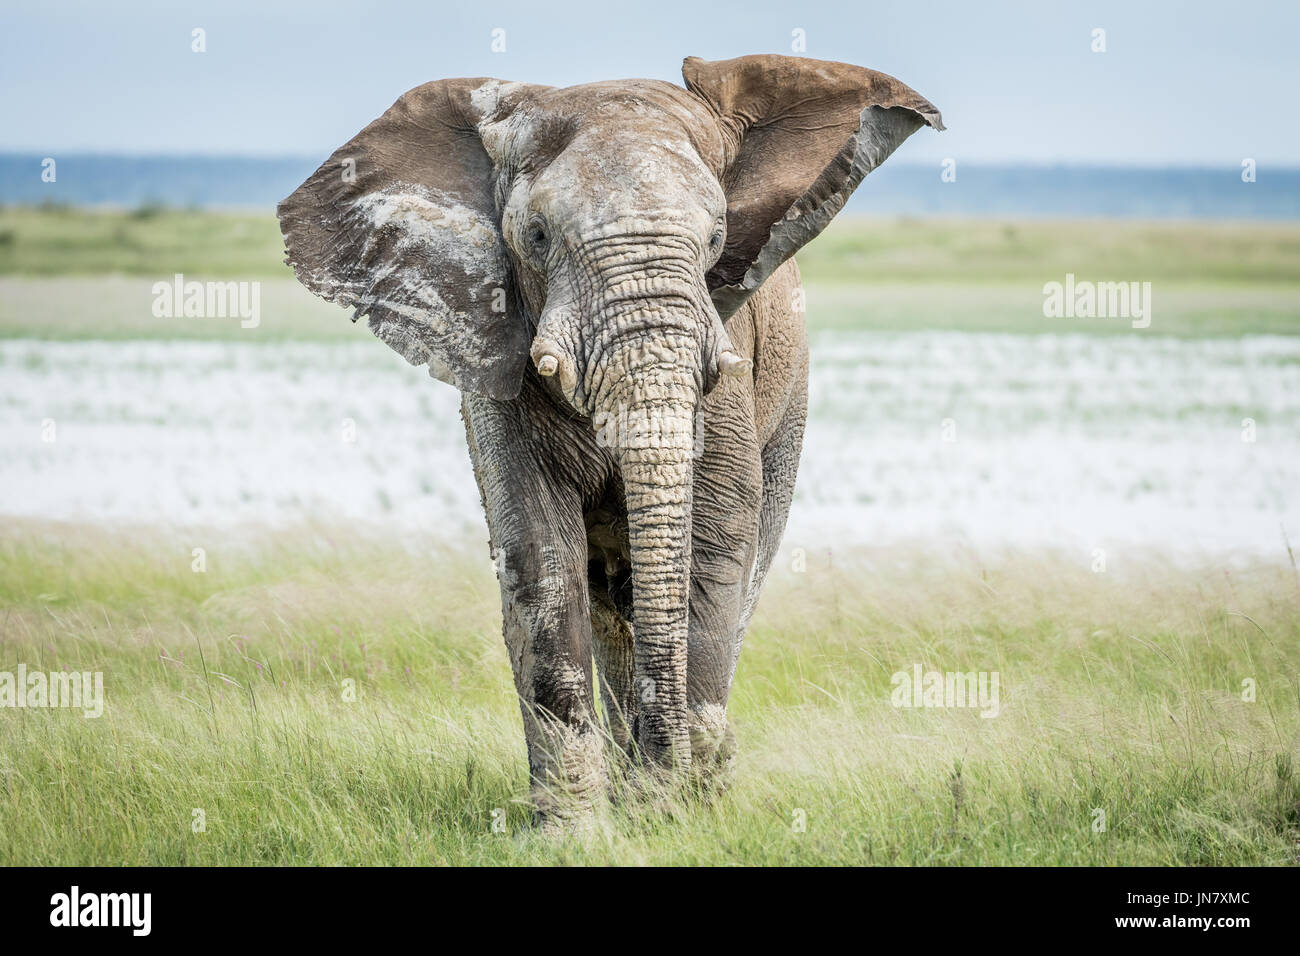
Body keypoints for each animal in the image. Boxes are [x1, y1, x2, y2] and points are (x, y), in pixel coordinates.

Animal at [278, 53, 942, 828]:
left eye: (716, 238)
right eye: (536, 236)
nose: (672, 779)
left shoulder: (725, 354)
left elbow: (716, 535)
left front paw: (687, 809)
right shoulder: (496, 359)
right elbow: (538, 548)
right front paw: (577, 832)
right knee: (610, 600)